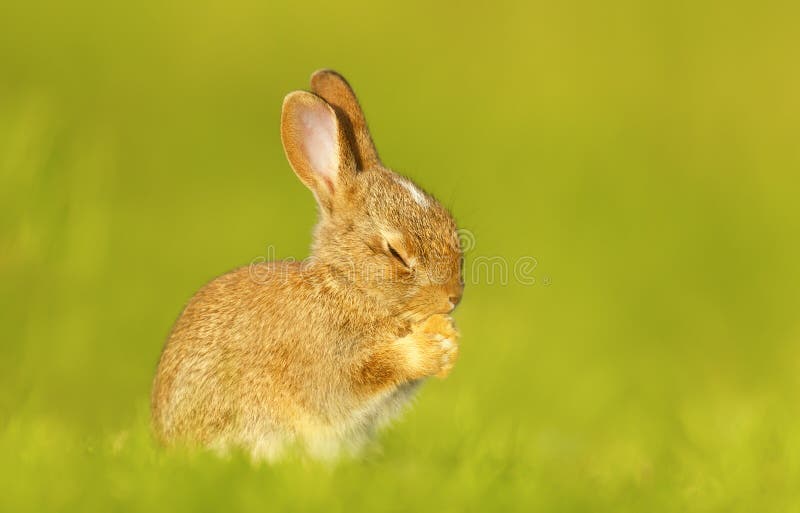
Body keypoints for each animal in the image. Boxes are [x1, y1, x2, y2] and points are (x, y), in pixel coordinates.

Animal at [151, 70, 464, 462]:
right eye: (395, 251)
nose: (453, 297)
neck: (349, 289)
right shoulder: (330, 367)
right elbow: (366, 375)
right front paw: (431, 348)